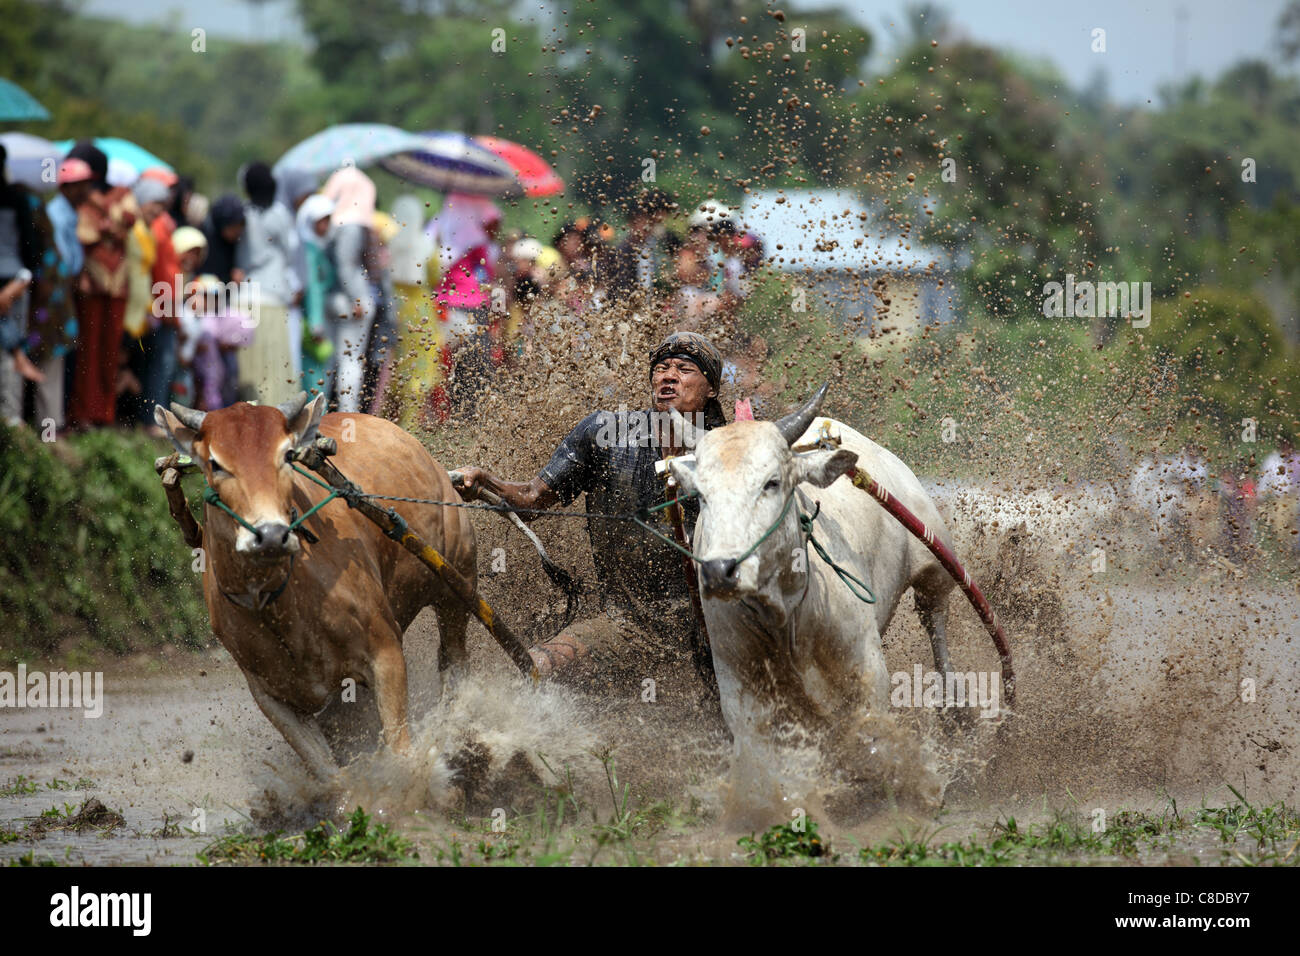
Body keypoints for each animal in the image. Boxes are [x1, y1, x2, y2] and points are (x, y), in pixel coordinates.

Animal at [154, 392, 475, 780]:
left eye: (287, 455)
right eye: (215, 463)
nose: (271, 535)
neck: (281, 604)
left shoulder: (386, 653)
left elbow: (401, 754)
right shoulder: (272, 697)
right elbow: (332, 776)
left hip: (456, 586)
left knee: (454, 661)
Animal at [668, 384, 959, 759]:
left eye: (771, 482)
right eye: (702, 494)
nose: (720, 571)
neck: (786, 614)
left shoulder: (867, 681)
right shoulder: (746, 702)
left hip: (934, 564)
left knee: (934, 617)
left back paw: (956, 712)